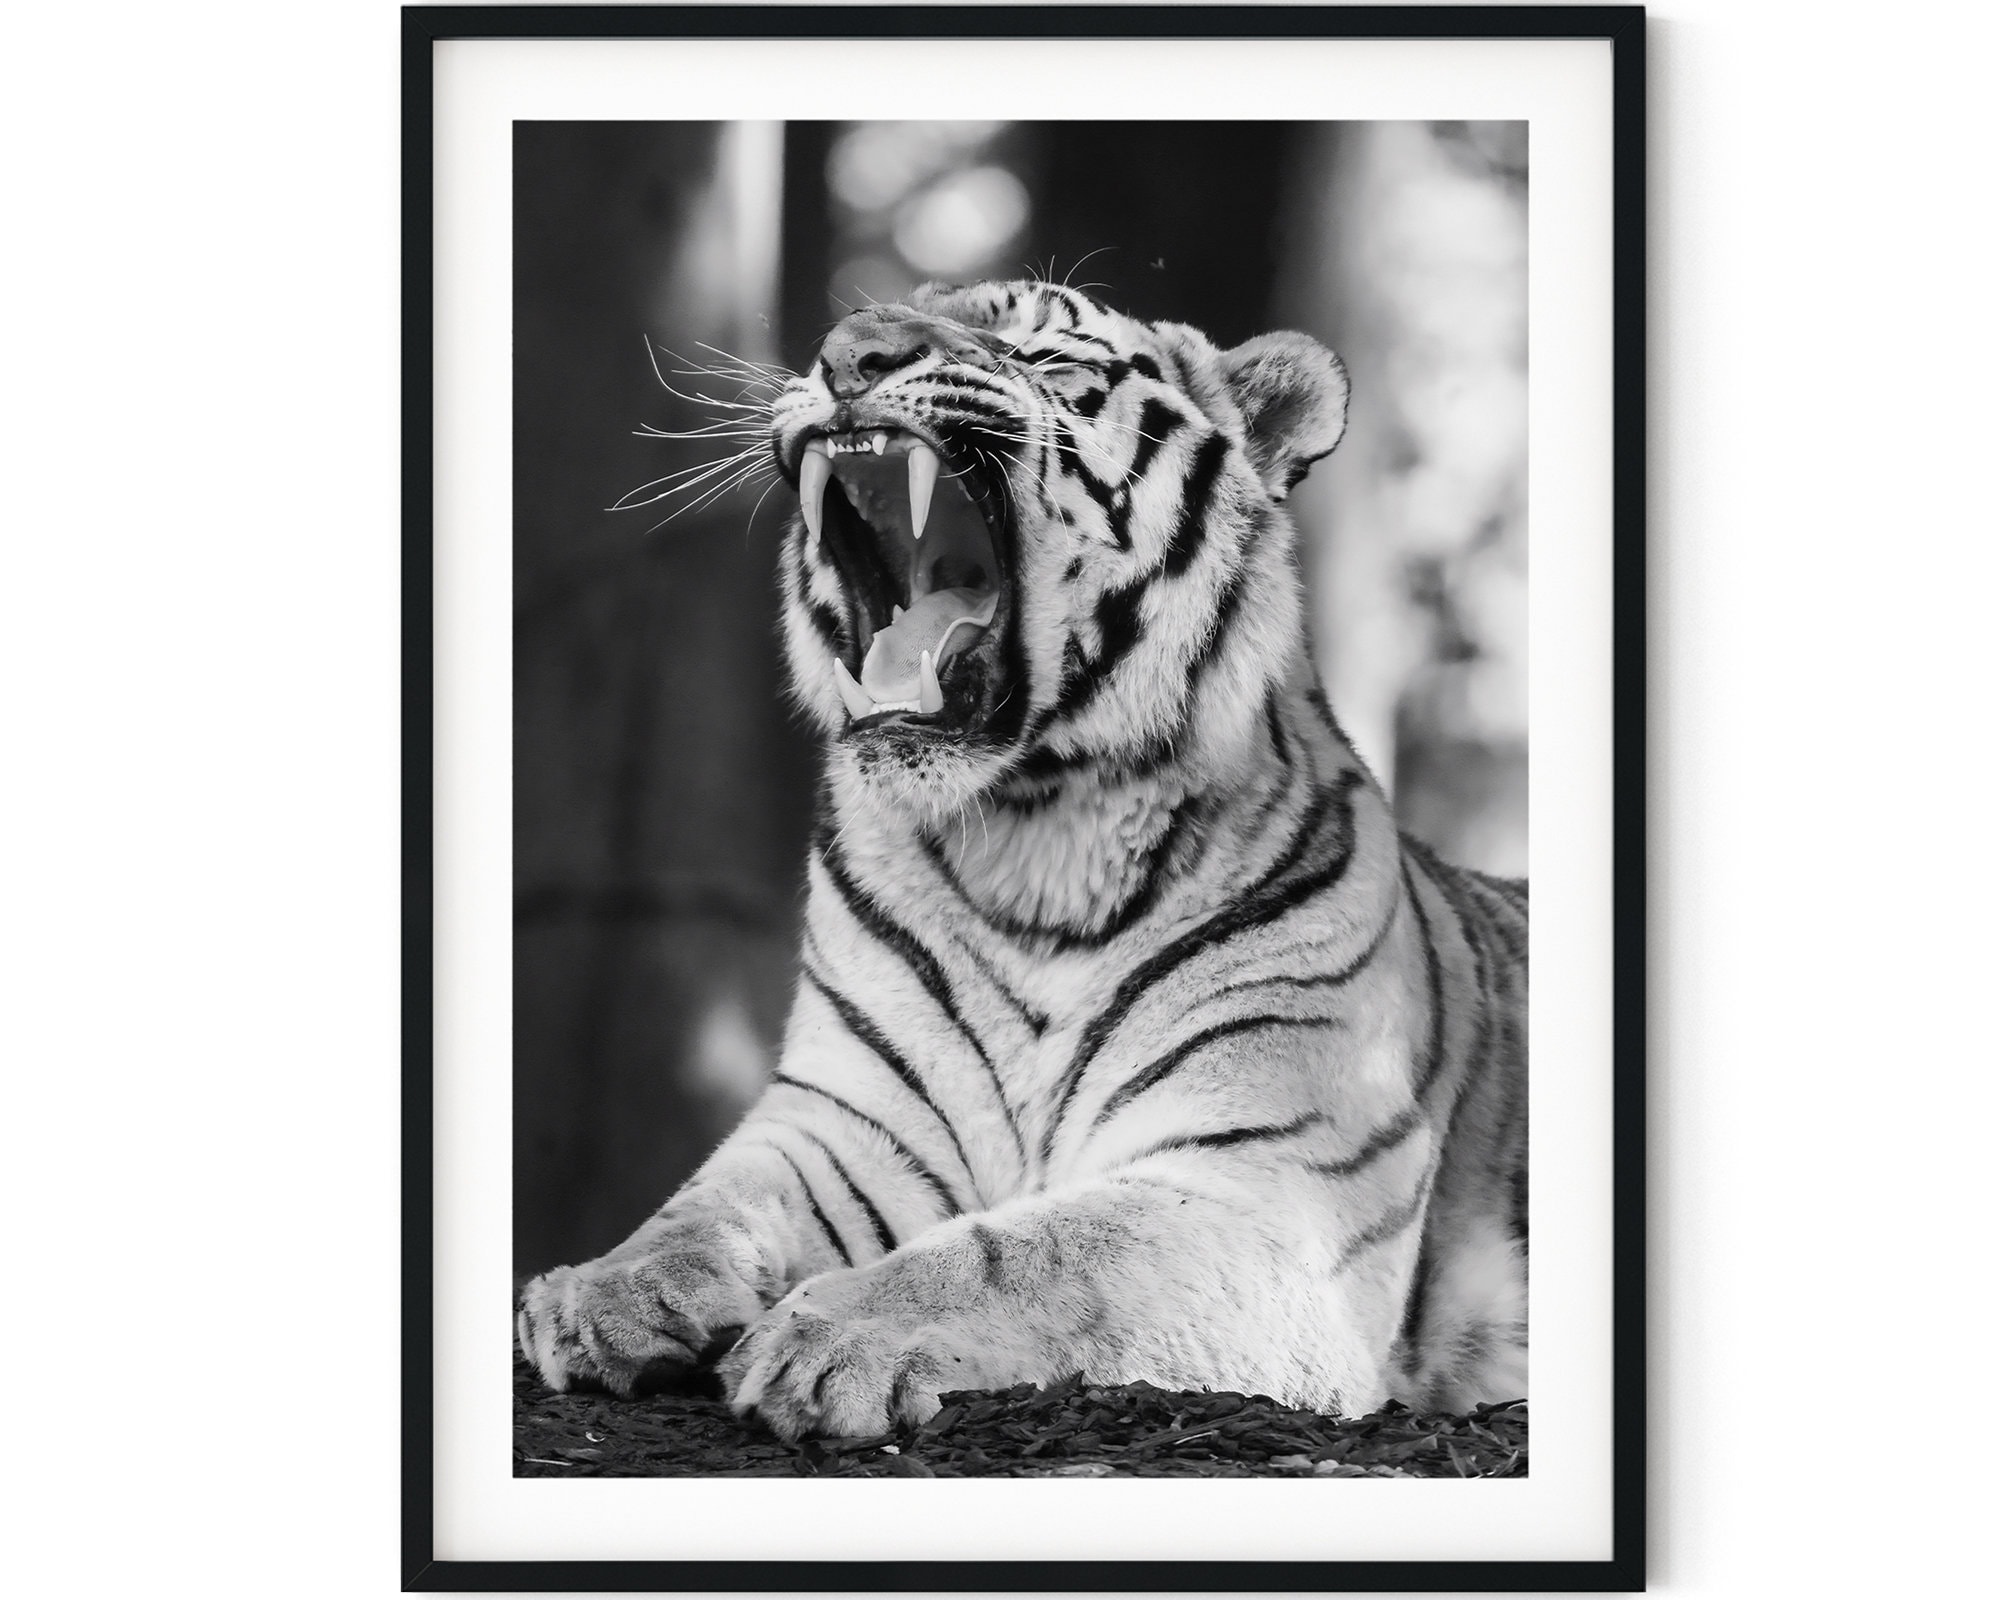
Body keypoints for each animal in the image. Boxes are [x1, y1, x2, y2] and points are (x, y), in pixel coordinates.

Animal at [516, 278, 1529, 1443]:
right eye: (865, 325)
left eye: (1046, 356)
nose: (848, 352)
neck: (1027, 842)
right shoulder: (842, 1119)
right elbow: (710, 1197)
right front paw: (605, 1290)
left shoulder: (1265, 1181)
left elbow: (1036, 1251)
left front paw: (831, 1337)